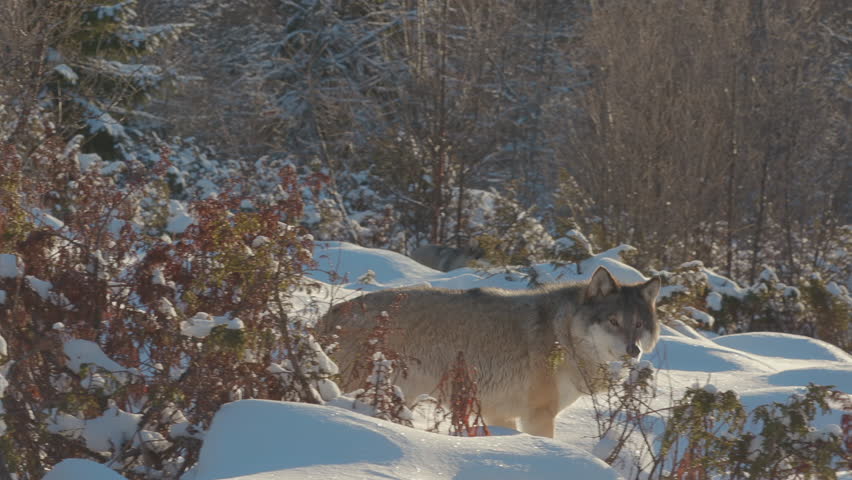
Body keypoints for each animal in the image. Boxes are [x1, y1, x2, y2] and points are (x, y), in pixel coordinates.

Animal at [321, 266, 661, 437]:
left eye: (638, 324)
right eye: (613, 321)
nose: (632, 351)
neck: (563, 336)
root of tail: (331, 315)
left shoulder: (500, 413)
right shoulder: (538, 417)